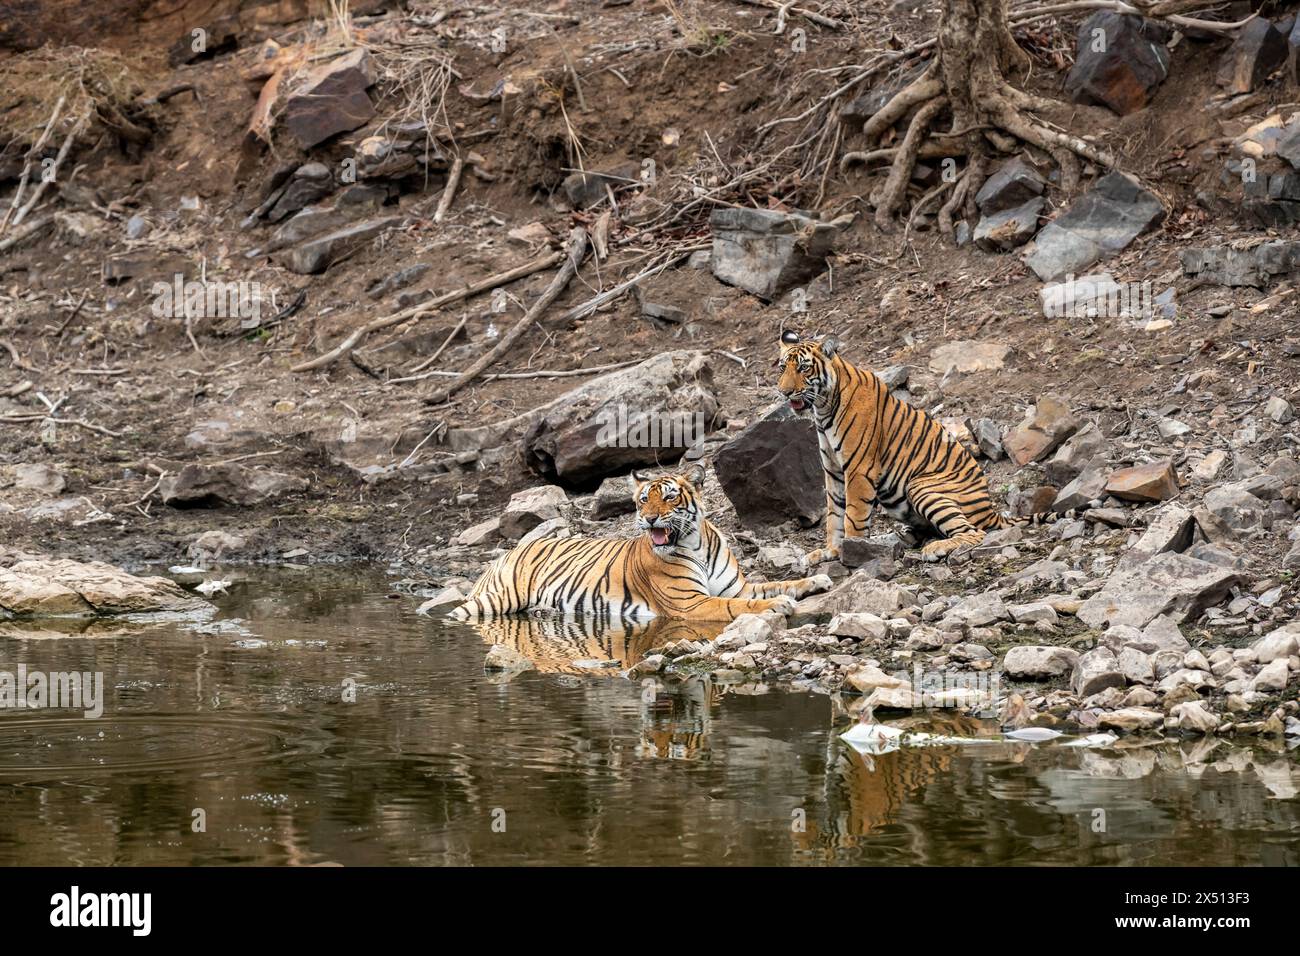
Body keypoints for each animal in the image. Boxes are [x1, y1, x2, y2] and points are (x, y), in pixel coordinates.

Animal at [448, 463, 833, 622]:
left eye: (669, 497)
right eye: (643, 499)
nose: (648, 519)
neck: (696, 543)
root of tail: (504, 554)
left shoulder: (735, 587)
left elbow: (775, 583)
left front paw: (817, 579)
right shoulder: (692, 603)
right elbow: (741, 606)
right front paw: (778, 605)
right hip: (499, 598)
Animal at [777, 330, 1016, 563]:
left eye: (804, 368)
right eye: (782, 367)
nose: (784, 392)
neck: (823, 408)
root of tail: (991, 510)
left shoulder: (858, 469)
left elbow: (853, 515)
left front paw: (850, 550)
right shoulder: (833, 471)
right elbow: (834, 515)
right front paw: (831, 551)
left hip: (921, 485)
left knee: (974, 532)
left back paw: (934, 548)